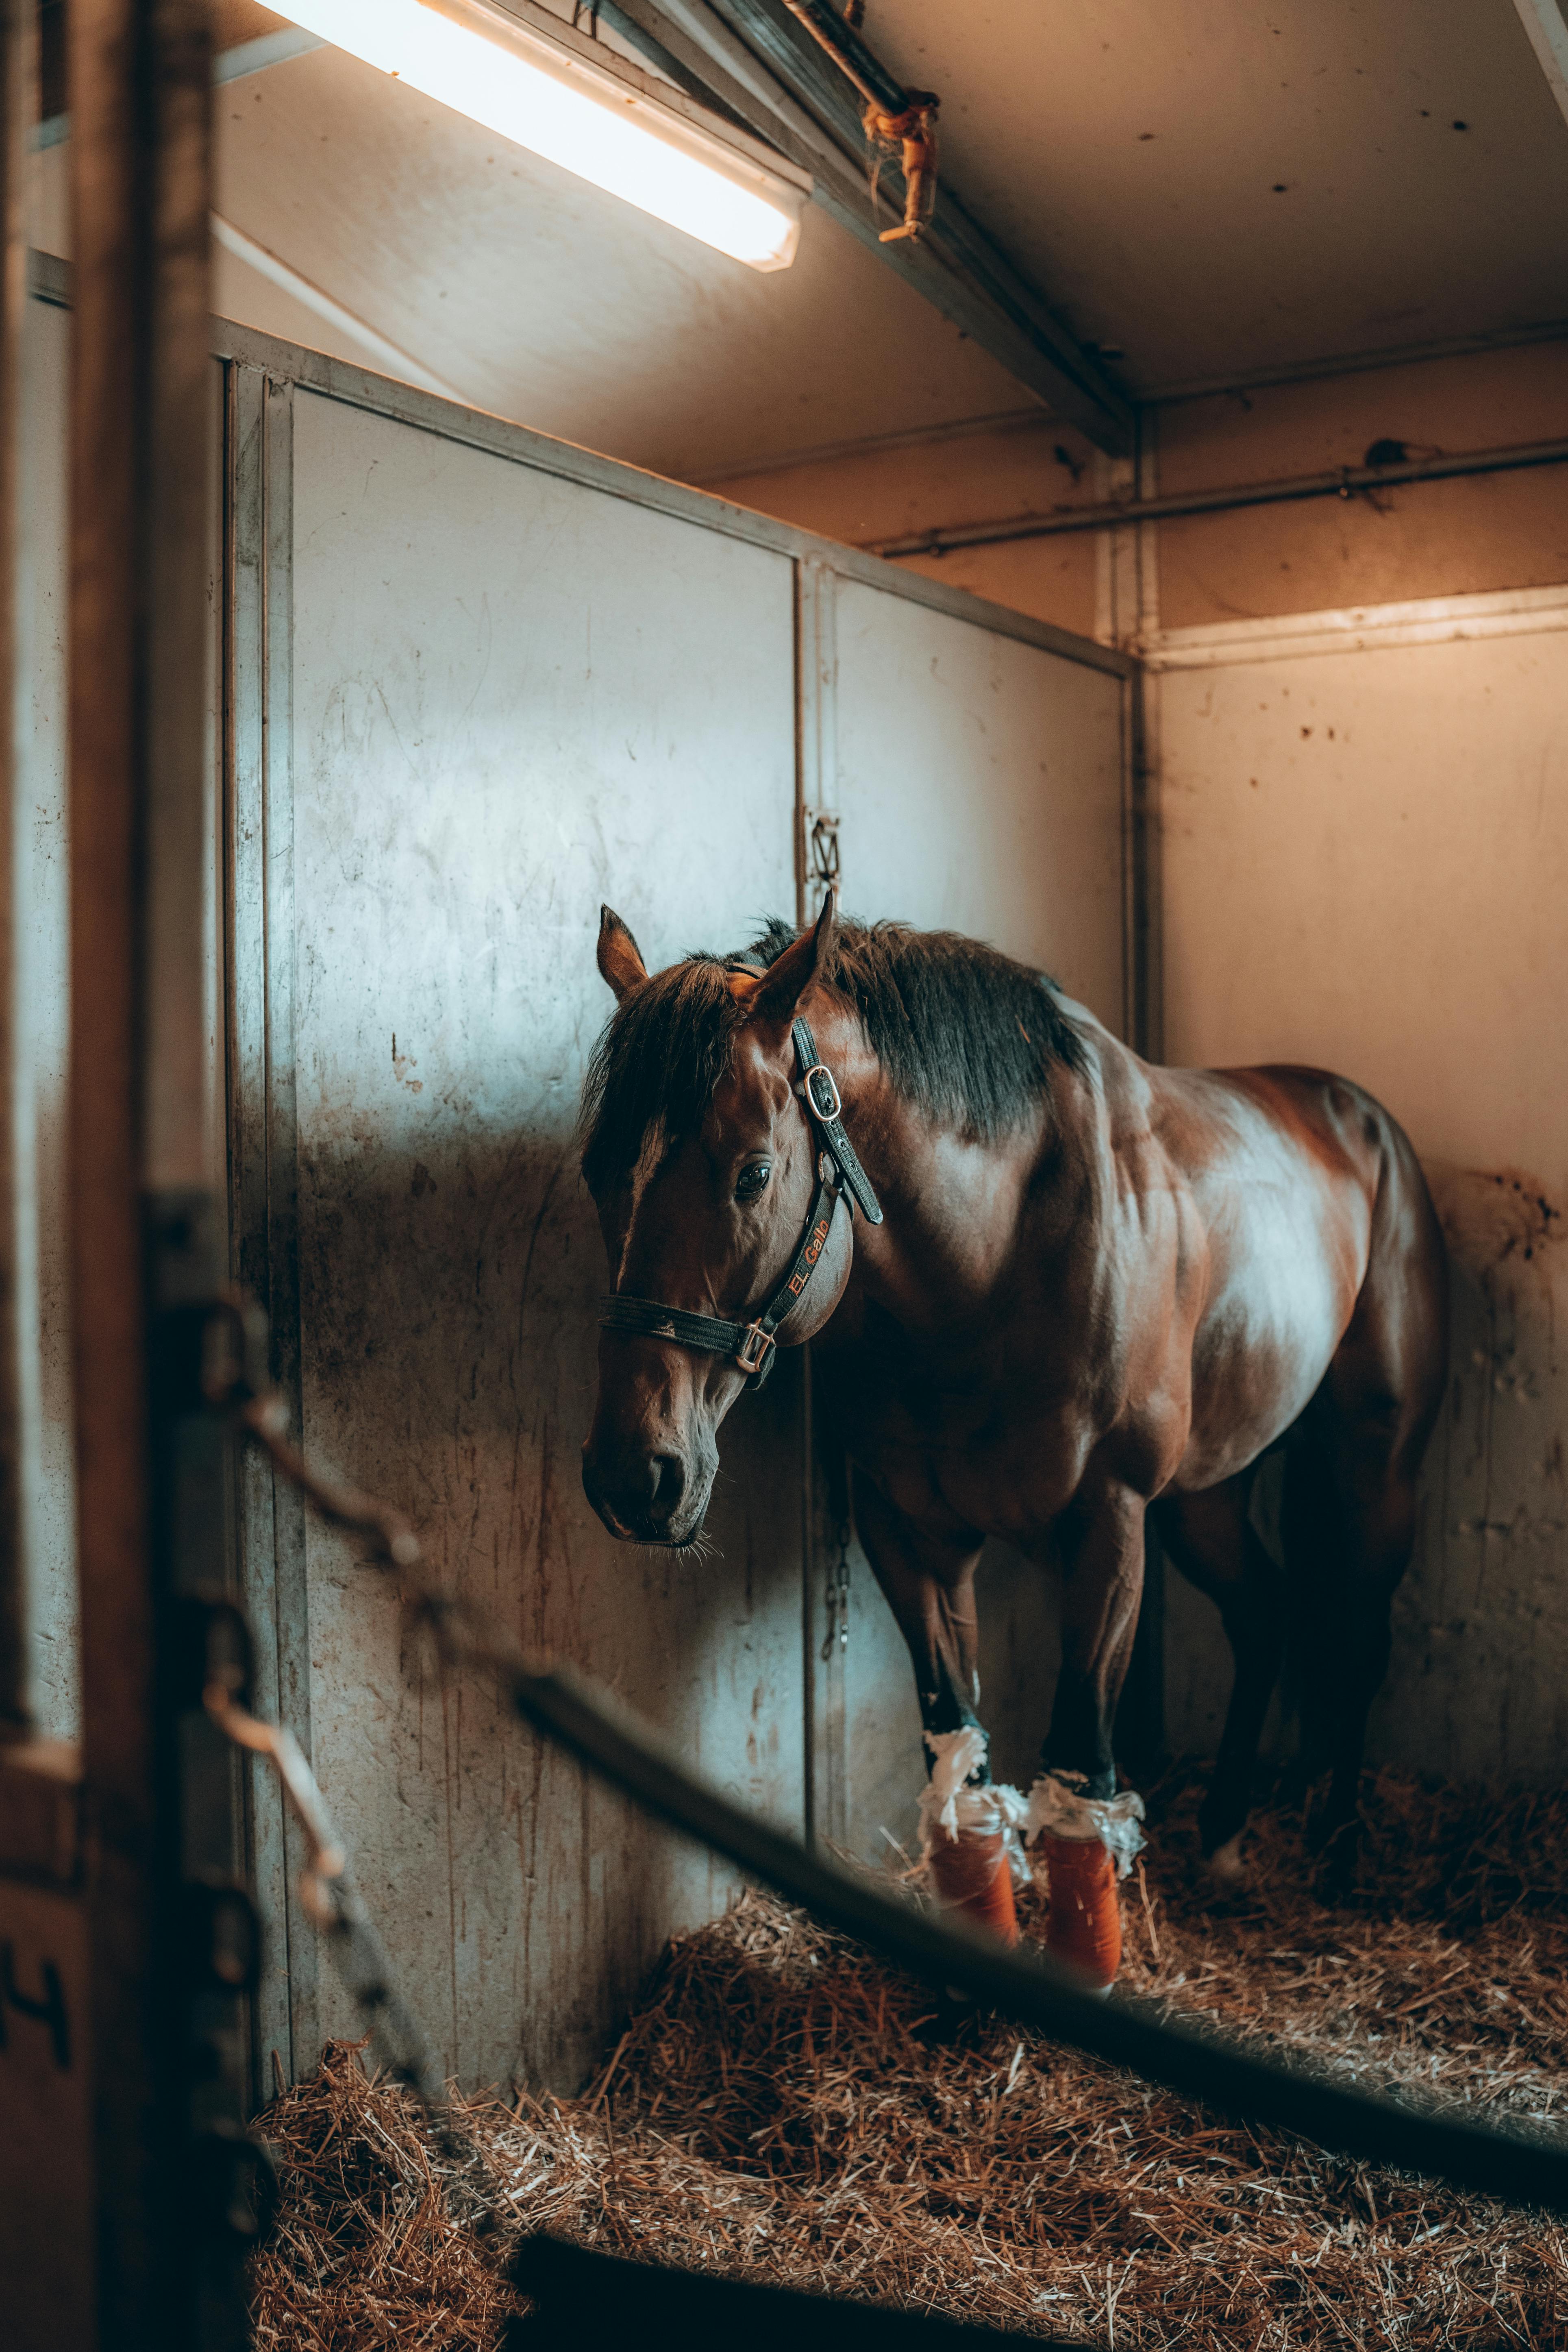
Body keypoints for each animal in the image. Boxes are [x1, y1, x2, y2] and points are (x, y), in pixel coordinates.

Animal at [577, 893, 1448, 1984]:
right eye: (596, 1171)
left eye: (754, 1173)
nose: (633, 1477)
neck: (991, 1262)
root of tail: (1358, 1117)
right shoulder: (910, 1534)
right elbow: (956, 1753)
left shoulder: (1108, 1530)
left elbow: (1081, 1765)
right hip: (1207, 1491)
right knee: (1263, 1614)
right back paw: (1223, 1840)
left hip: (1376, 1465)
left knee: (1358, 1638)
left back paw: (1334, 1853)